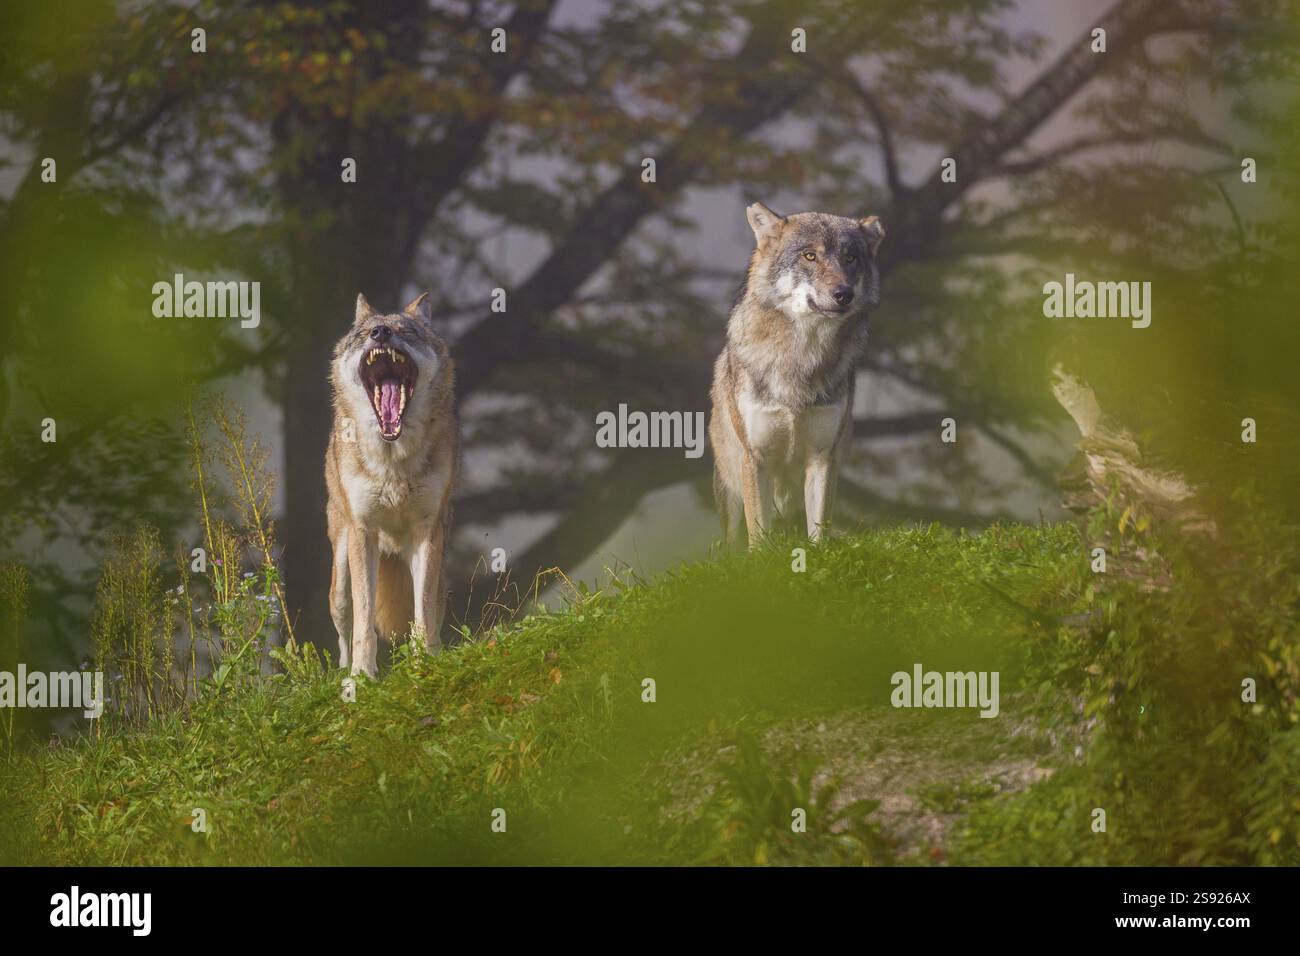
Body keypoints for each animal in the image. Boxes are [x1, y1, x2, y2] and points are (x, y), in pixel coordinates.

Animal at [325, 291, 459, 676]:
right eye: (365, 334)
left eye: (407, 331)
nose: (381, 333)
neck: (392, 463)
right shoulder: (363, 531)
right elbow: (364, 623)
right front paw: (360, 678)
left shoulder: (428, 531)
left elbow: (422, 616)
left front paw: (425, 663)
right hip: (340, 578)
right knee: (345, 626)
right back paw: (342, 671)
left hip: (438, 576)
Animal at [709, 202, 885, 548]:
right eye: (810, 256)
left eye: (850, 258)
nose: (843, 293)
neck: (800, 357)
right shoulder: (756, 457)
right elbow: (758, 535)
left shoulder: (822, 456)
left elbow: (818, 532)